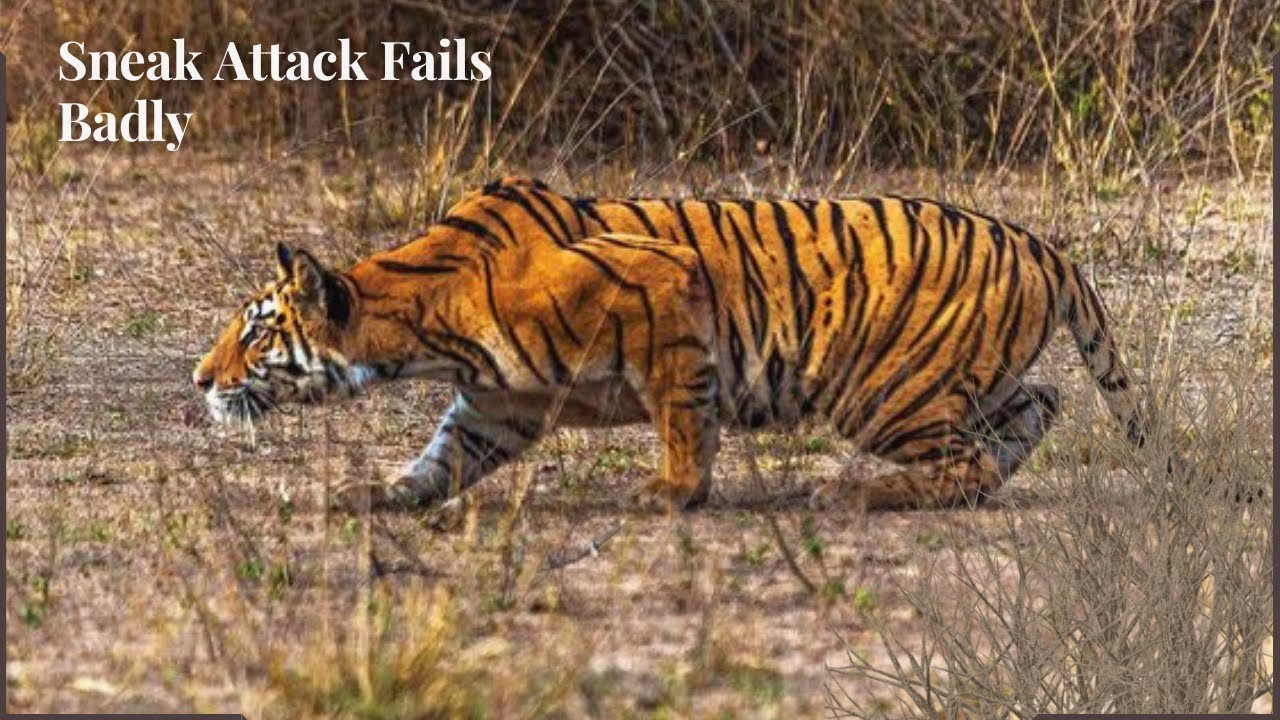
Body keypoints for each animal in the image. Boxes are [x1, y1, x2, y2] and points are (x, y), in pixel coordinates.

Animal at [192, 175, 1148, 512]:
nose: (200, 379)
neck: (423, 325)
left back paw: (856, 492)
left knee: (969, 460)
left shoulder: (665, 292)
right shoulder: (498, 404)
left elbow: (684, 418)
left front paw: (672, 494)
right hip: (959, 381)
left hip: (882, 388)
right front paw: (381, 495)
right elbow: (442, 457)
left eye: (257, 329)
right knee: (1037, 406)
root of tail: (1041, 243)